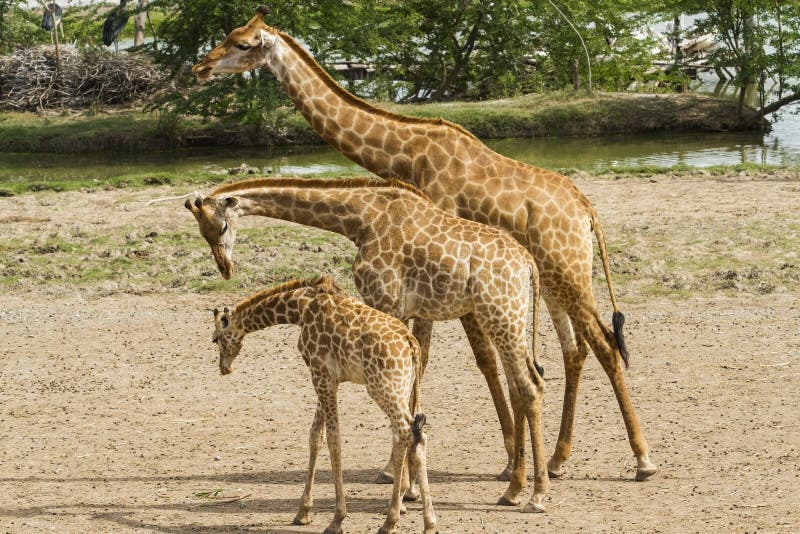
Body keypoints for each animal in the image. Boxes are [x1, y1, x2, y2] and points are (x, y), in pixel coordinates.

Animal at [192, 6, 658, 482]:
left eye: (242, 43)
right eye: (227, 35)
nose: (200, 67)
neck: (403, 153)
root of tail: (587, 212)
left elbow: (461, 360)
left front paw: (408, 469)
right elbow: (481, 362)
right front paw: (509, 460)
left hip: (568, 273)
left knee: (605, 345)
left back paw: (641, 459)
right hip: (549, 283)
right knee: (574, 349)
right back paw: (559, 458)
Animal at [211, 275, 436, 534]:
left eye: (215, 339)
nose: (224, 368)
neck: (299, 308)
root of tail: (411, 344)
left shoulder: (320, 374)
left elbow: (333, 440)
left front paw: (337, 519)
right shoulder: (328, 378)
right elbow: (314, 436)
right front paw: (303, 512)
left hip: (383, 388)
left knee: (405, 433)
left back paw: (390, 521)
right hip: (405, 389)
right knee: (417, 436)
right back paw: (428, 523)